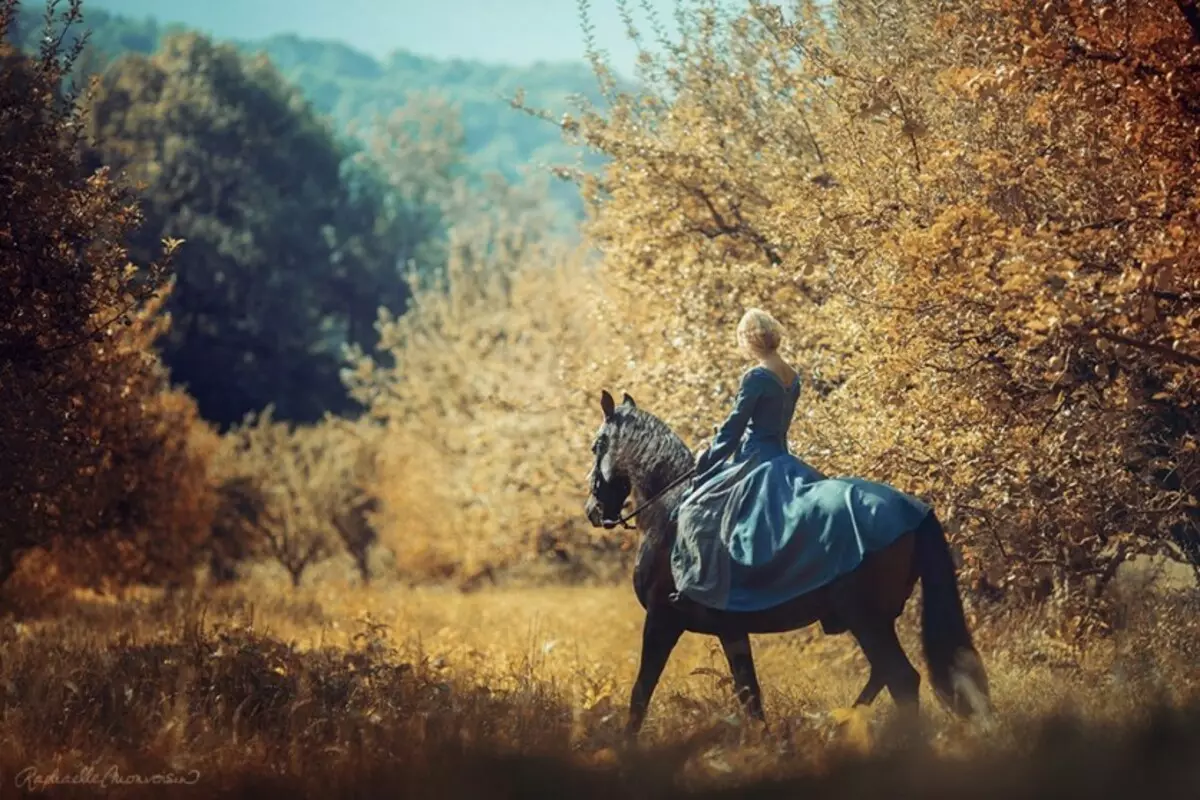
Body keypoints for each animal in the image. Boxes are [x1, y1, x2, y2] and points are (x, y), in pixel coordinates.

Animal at [583, 391, 993, 734]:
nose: (592, 511)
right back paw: (840, 726)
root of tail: (916, 510)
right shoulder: (730, 630)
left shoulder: (662, 620)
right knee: (884, 676)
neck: (668, 511)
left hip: (868, 620)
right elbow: (750, 695)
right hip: (876, 620)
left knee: (902, 680)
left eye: (595, 445)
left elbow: (641, 691)